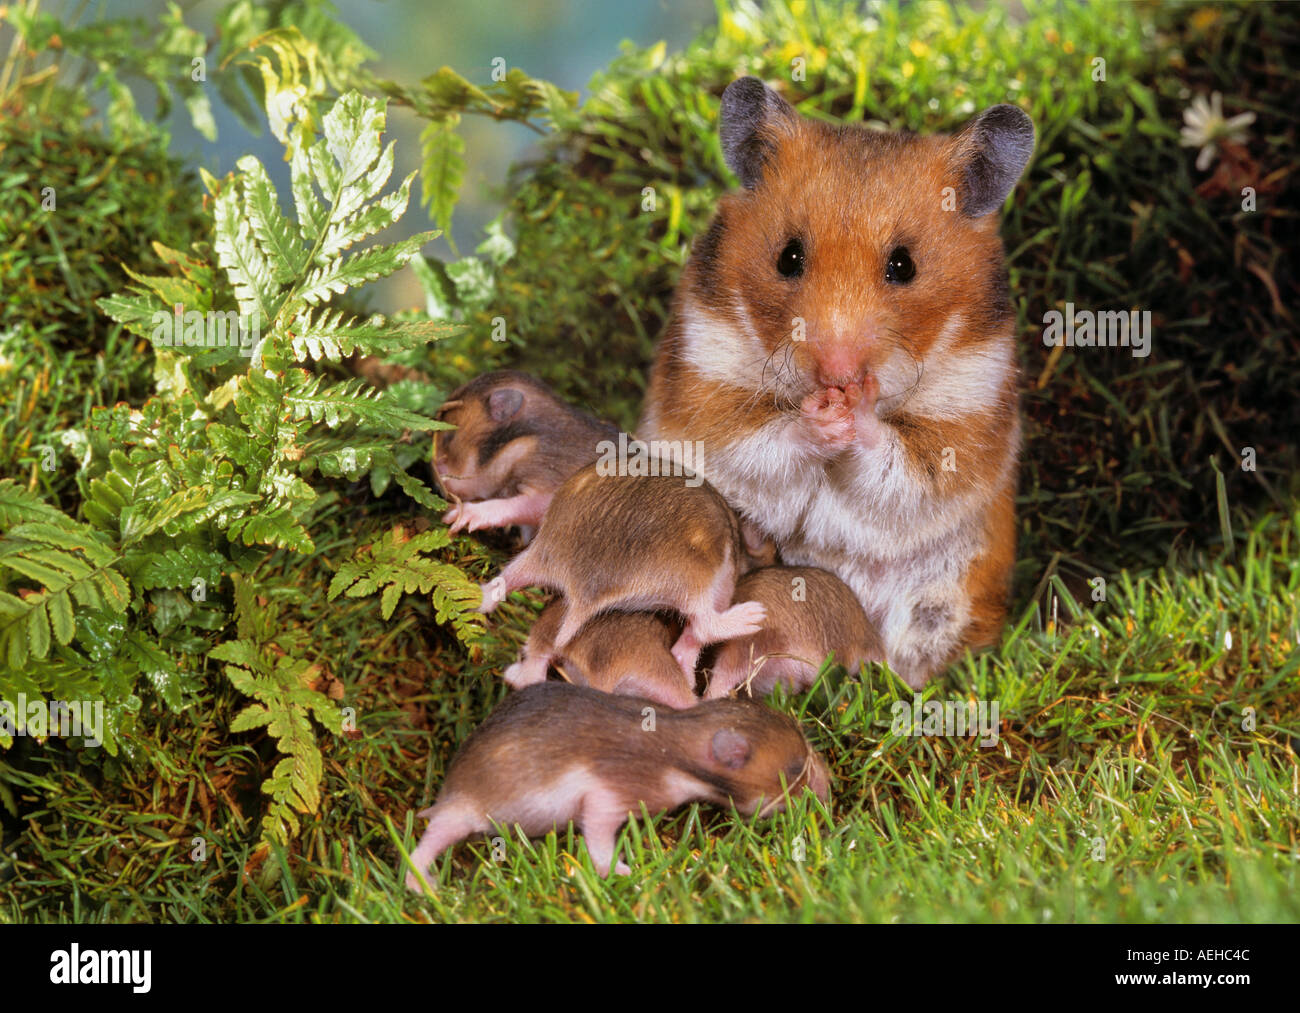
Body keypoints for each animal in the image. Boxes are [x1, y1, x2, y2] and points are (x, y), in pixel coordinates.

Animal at [404, 682, 830, 891]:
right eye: (795, 770)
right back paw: (423, 884)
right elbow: (597, 844)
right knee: (428, 842)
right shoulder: (608, 794)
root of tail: (448, 793)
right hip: (462, 814)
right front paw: (627, 872)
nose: (829, 796)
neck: (678, 746)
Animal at [477, 462, 767, 679]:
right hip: (694, 582)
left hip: (540, 554)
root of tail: (585, 593)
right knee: (705, 625)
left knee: (508, 579)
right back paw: (751, 616)